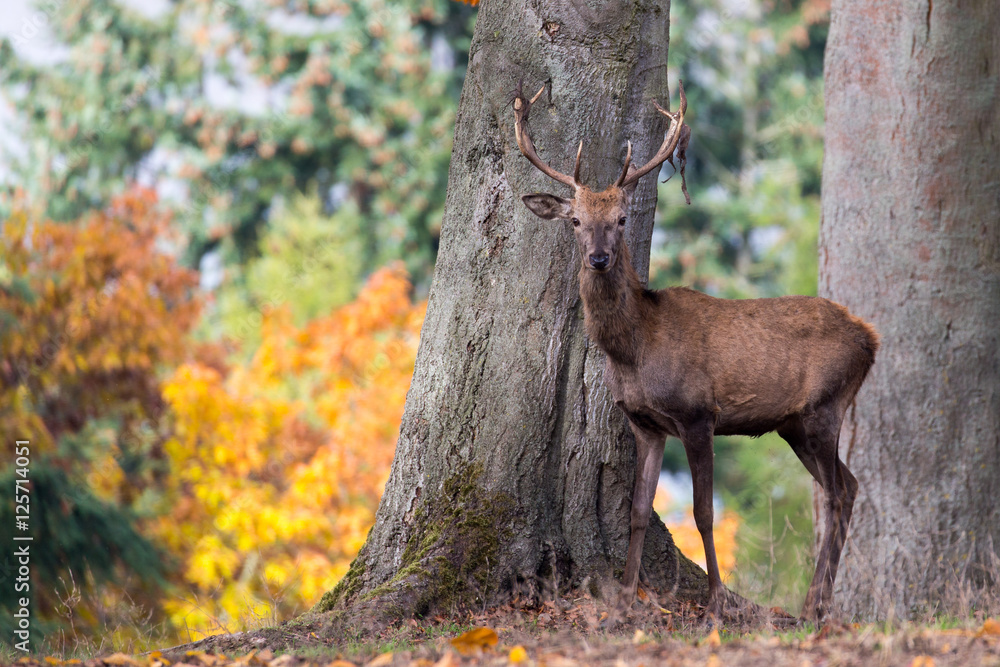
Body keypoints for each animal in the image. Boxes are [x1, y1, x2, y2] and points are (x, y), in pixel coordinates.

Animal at [510, 79, 879, 622]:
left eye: (622, 219)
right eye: (575, 220)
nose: (598, 258)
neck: (635, 352)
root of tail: (871, 338)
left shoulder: (699, 413)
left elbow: (704, 513)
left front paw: (715, 605)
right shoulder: (645, 423)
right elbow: (637, 511)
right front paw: (626, 598)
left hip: (825, 405)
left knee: (834, 494)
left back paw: (815, 606)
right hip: (793, 423)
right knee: (849, 487)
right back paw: (816, 603)